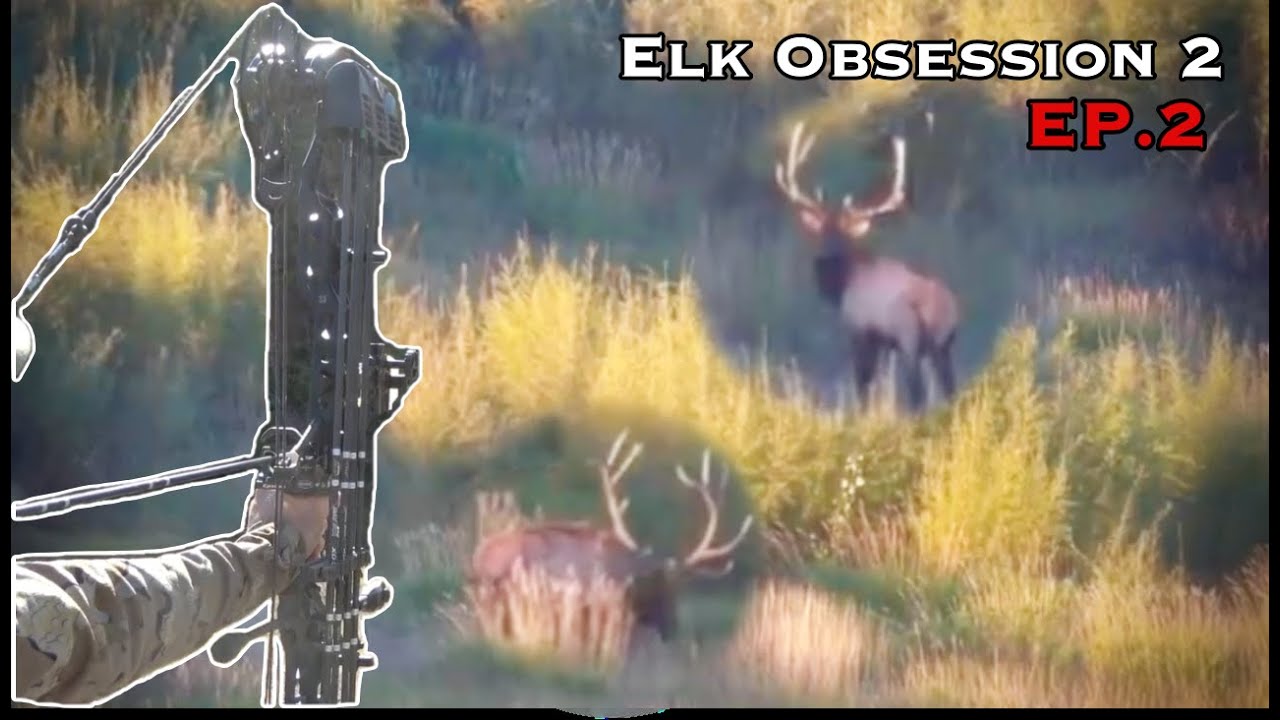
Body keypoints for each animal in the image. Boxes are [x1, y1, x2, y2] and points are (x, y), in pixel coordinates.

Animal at [774, 121, 960, 412]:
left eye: (844, 235)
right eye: (822, 232)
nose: (826, 258)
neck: (846, 283)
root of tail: (940, 308)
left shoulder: (860, 332)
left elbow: (863, 387)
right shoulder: (881, 343)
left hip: (909, 339)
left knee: (917, 394)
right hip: (943, 346)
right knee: (950, 389)